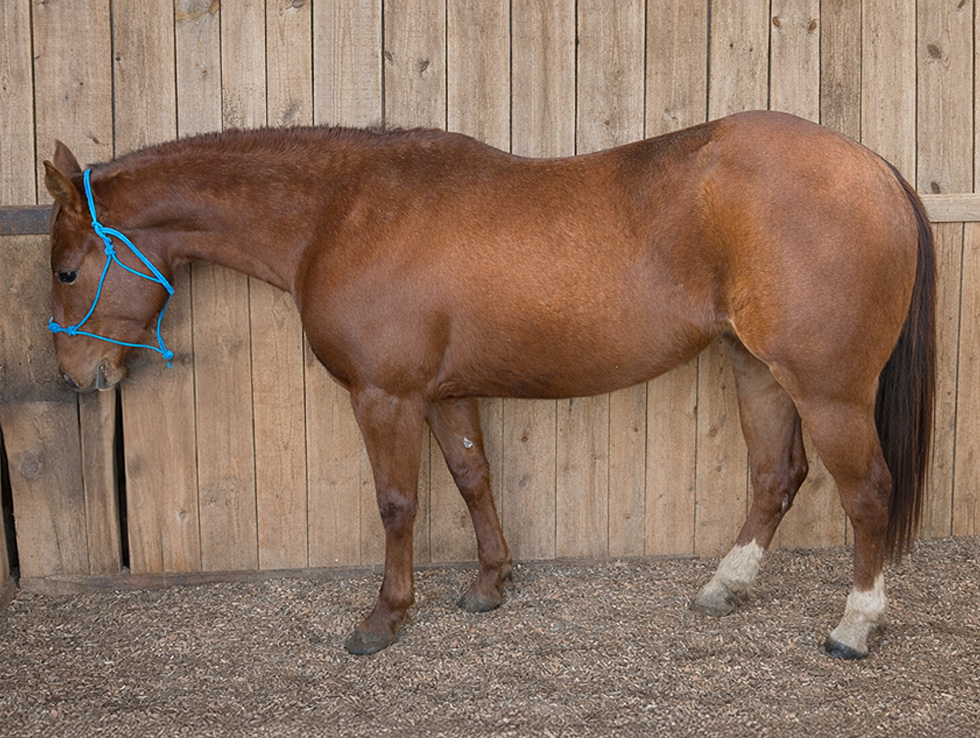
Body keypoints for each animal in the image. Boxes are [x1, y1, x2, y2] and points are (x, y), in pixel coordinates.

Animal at [43, 110, 935, 659]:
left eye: (65, 270)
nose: (76, 376)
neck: (342, 211)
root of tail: (872, 169)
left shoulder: (386, 397)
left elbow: (398, 505)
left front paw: (384, 619)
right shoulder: (442, 395)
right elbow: (474, 476)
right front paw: (488, 584)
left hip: (828, 391)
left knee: (868, 494)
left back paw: (855, 625)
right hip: (757, 370)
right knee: (775, 476)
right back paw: (727, 585)